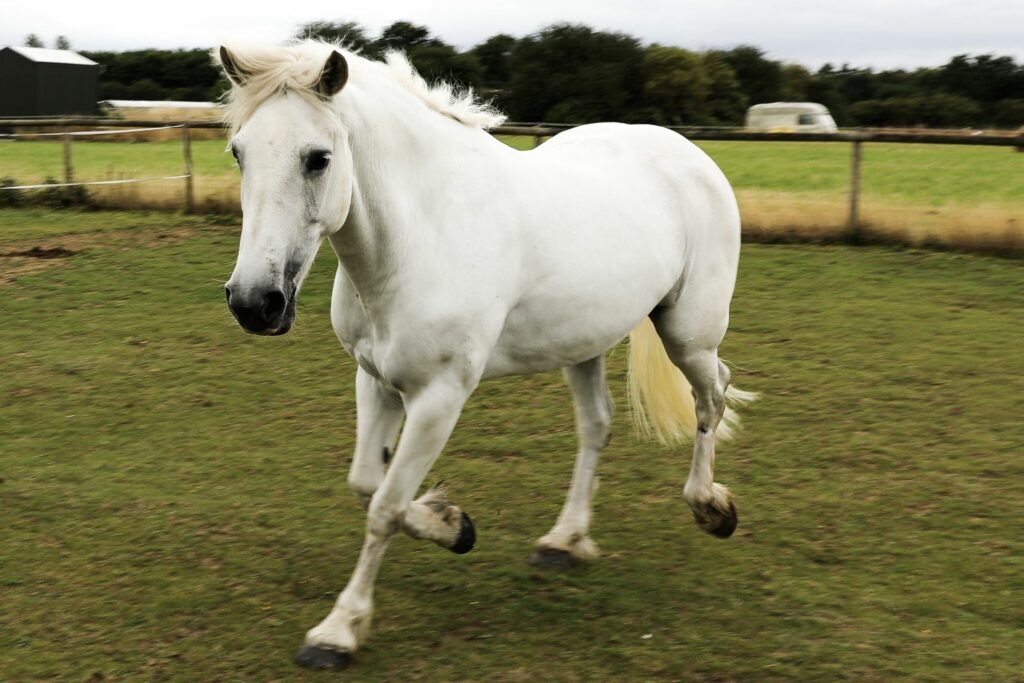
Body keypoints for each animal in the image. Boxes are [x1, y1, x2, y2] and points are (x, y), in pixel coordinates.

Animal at [217, 40, 757, 670]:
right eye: (238, 152)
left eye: (318, 158)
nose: (255, 303)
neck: (421, 234)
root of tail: (688, 152)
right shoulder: (375, 380)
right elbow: (368, 484)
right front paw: (454, 525)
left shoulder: (439, 397)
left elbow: (385, 508)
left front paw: (337, 632)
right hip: (585, 342)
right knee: (597, 424)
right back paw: (565, 541)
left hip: (688, 333)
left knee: (712, 396)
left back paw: (711, 509)